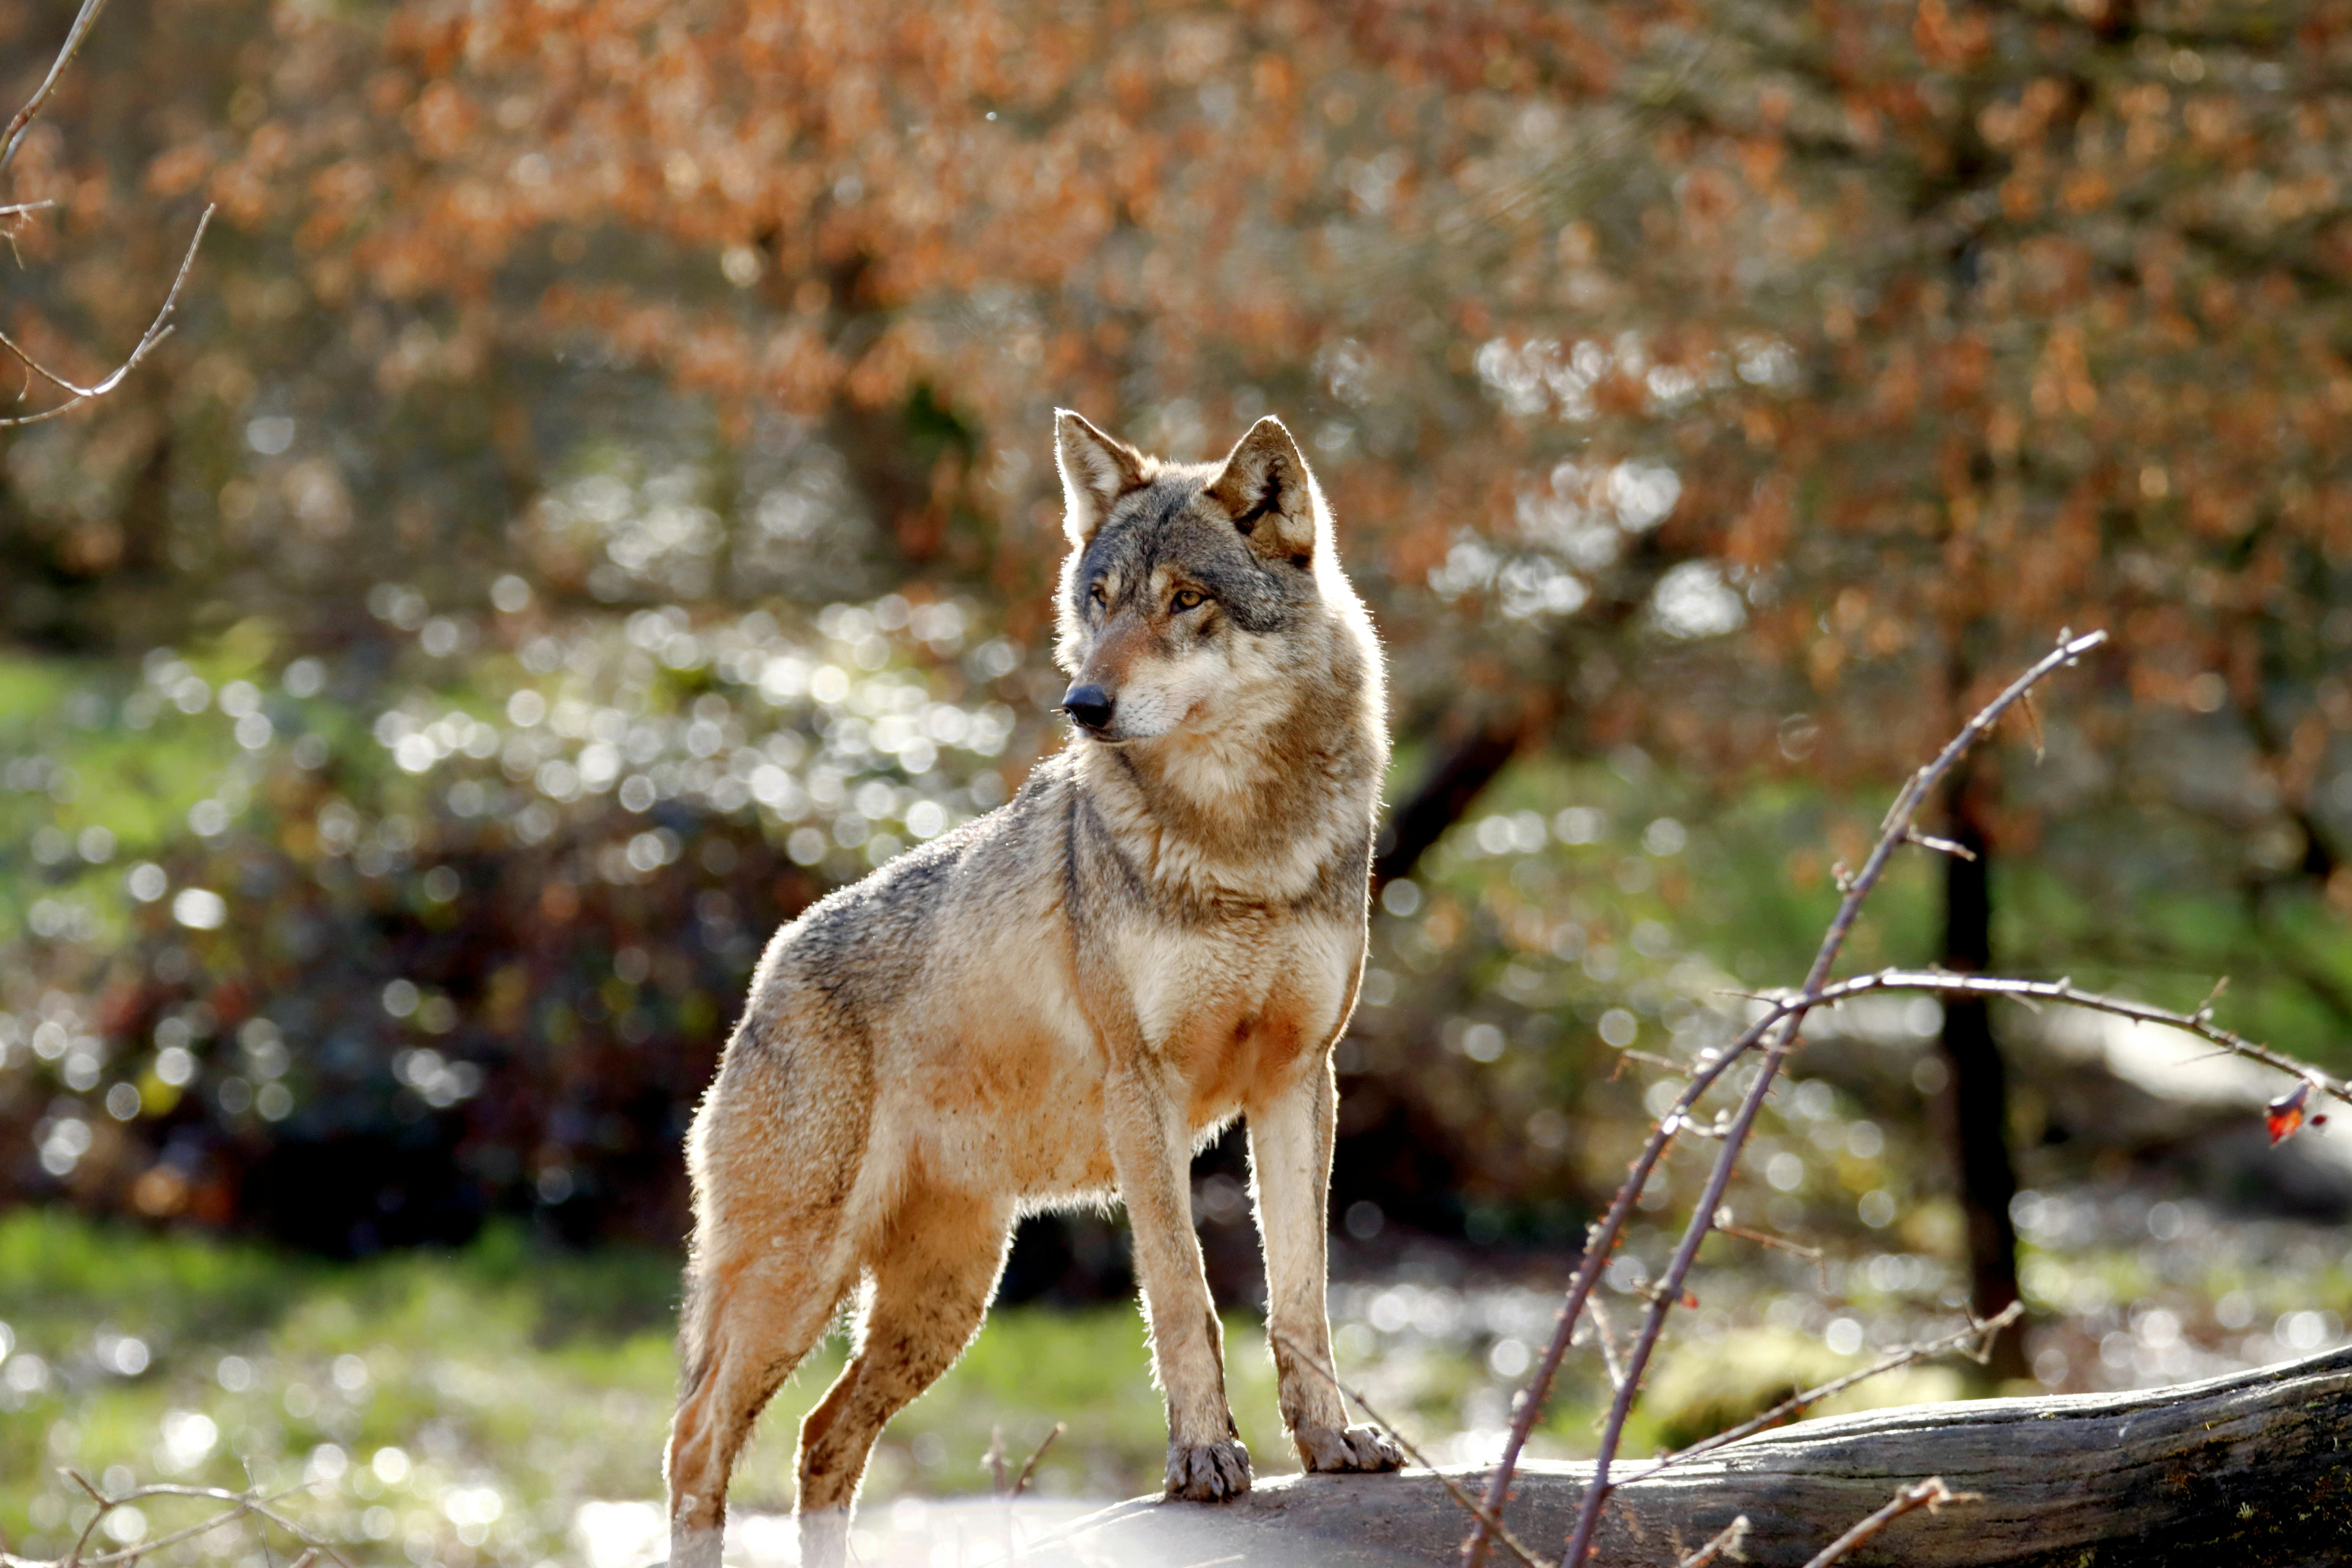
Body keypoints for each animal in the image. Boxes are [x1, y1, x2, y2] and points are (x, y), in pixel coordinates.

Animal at [663, 410, 1403, 1568]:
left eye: (1183, 600)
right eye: (1098, 599)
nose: (1083, 704)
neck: (1240, 847)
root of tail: (768, 968)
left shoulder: (1298, 1080)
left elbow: (1301, 1300)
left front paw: (1329, 1444)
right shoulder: (1142, 1091)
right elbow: (1183, 1294)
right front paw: (1203, 1459)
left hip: (944, 1302)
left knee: (823, 1439)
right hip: (799, 1281)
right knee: (695, 1444)